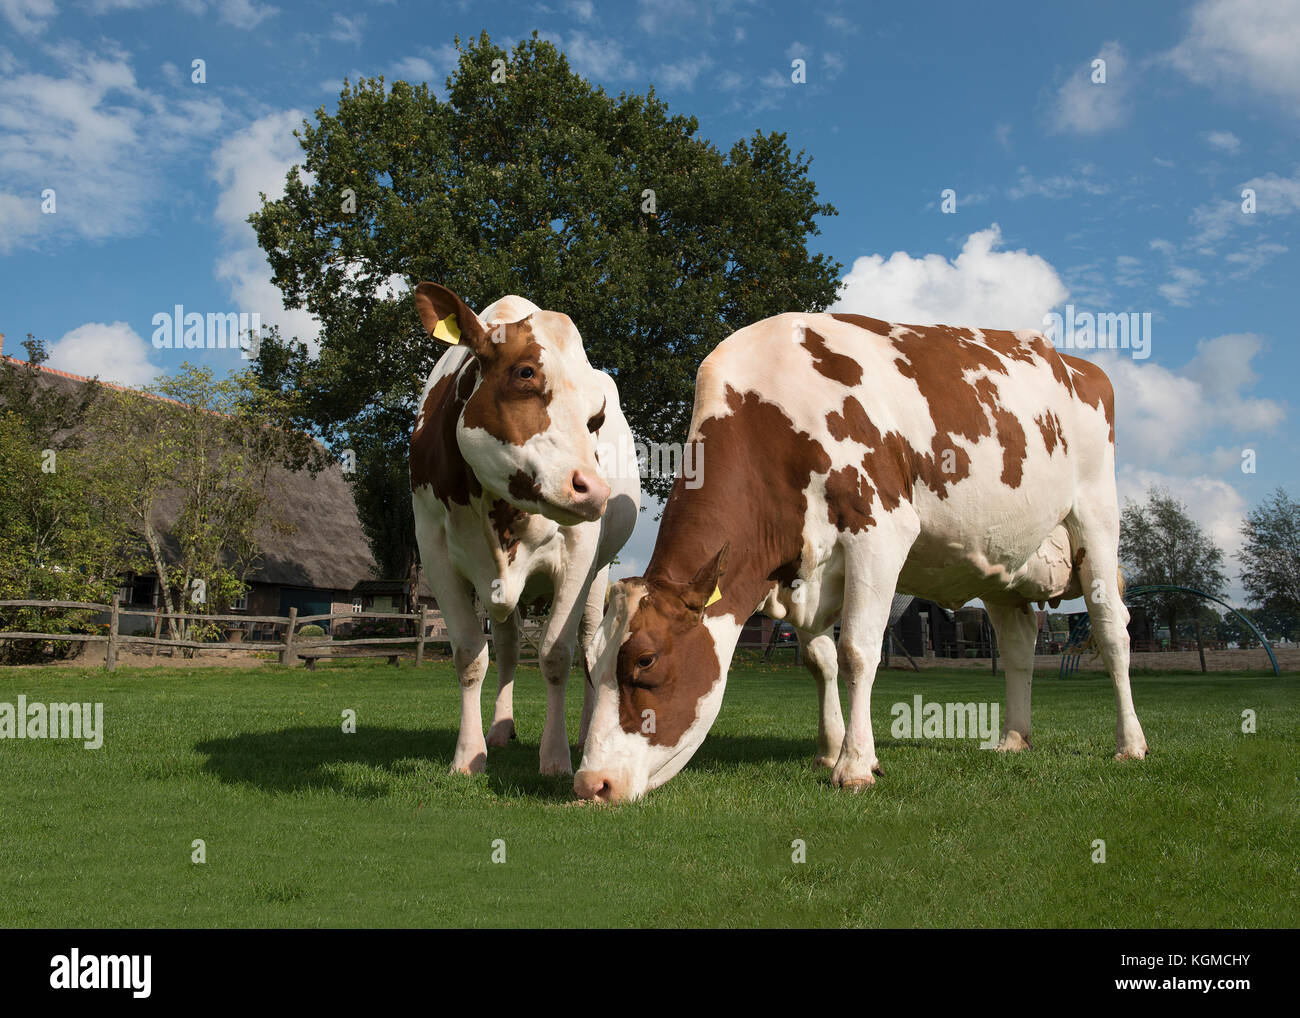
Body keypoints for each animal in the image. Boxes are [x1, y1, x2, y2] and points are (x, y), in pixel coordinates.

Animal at [410, 283, 640, 776]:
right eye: (525, 372)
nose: (594, 489)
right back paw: (500, 729)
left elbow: (556, 654)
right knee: (511, 645)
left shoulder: (579, 551)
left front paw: (554, 757)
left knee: (589, 644)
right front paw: (468, 755)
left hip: (600, 573)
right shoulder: (433, 549)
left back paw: (584, 732)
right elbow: (470, 653)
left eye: (596, 417)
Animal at [574, 312, 1148, 802]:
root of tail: (1078, 365)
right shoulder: (800, 568)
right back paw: (1013, 738)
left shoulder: (880, 531)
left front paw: (854, 766)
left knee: (1111, 630)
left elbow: (856, 651)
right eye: (591, 665)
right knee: (1018, 643)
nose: (591, 784)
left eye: (646, 659)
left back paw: (1131, 744)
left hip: (1095, 516)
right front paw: (831, 752)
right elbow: (819, 659)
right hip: (1002, 560)